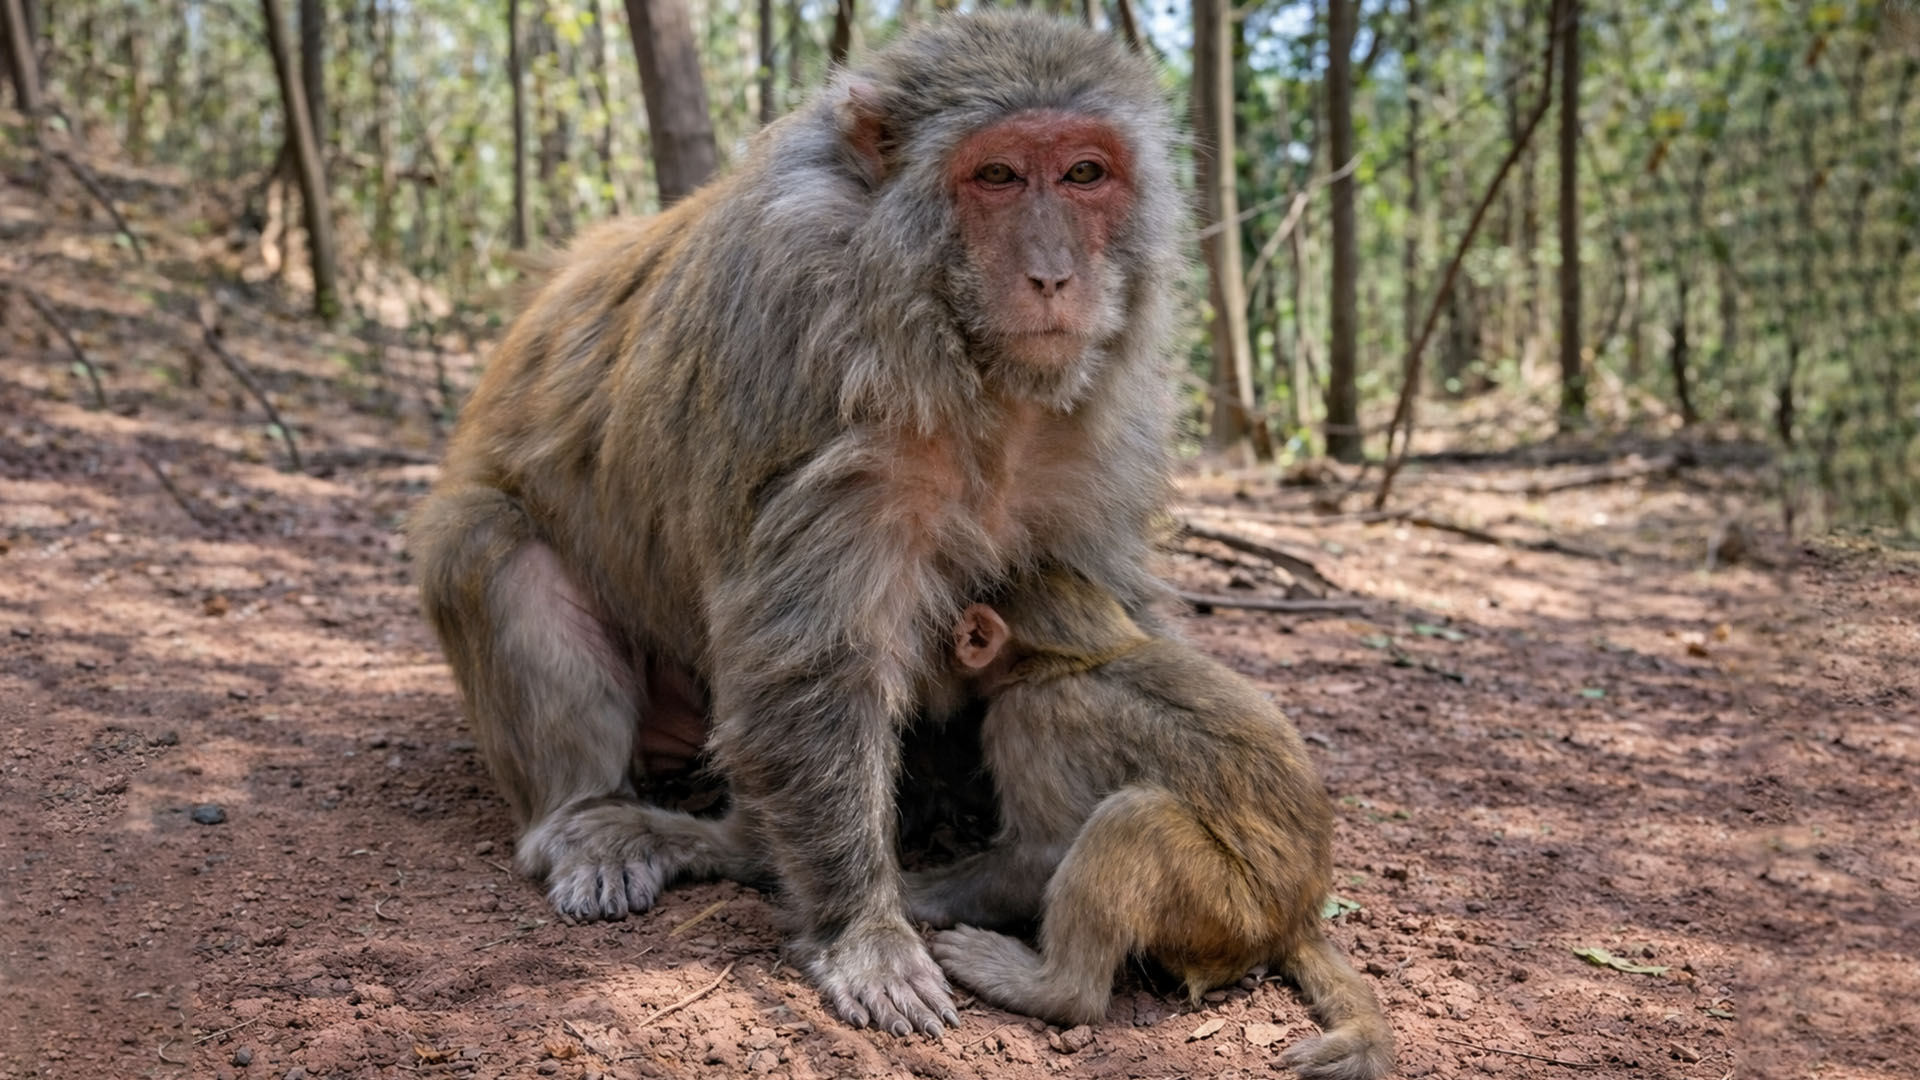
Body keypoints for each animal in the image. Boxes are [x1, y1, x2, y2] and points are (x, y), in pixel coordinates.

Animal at [407, 13, 1183, 1038]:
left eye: (1085, 174)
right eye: (1000, 176)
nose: (1054, 275)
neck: (961, 354)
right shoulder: (802, 340)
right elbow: (810, 659)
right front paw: (865, 933)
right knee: (490, 545)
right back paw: (600, 825)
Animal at [904, 570, 1395, 1080]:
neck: (1081, 657)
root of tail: (1297, 921)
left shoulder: (1026, 715)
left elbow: (1042, 853)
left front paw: (914, 893)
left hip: (1228, 916)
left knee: (1135, 817)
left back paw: (1053, 991)